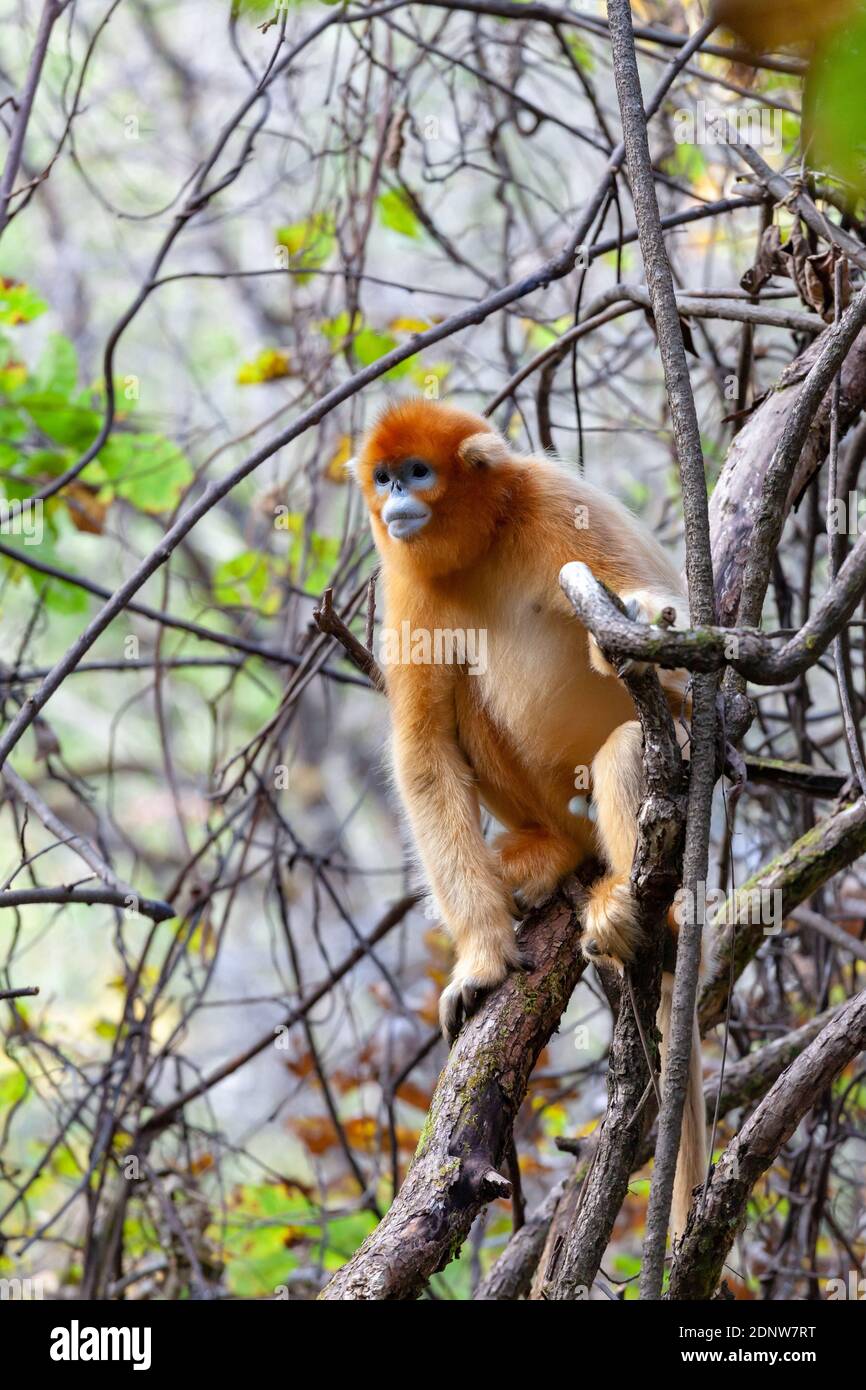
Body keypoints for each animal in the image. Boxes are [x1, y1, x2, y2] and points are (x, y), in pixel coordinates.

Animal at [351, 397, 705, 1238]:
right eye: (384, 477)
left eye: (418, 471)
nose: (396, 500)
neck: (483, 539)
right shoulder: (406, 578)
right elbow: (423, 752)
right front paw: (482, 959)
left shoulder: (557, 503)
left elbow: (670, 646)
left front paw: (643, 618)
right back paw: (545, 859)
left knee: (631, 744)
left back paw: (636, 909)